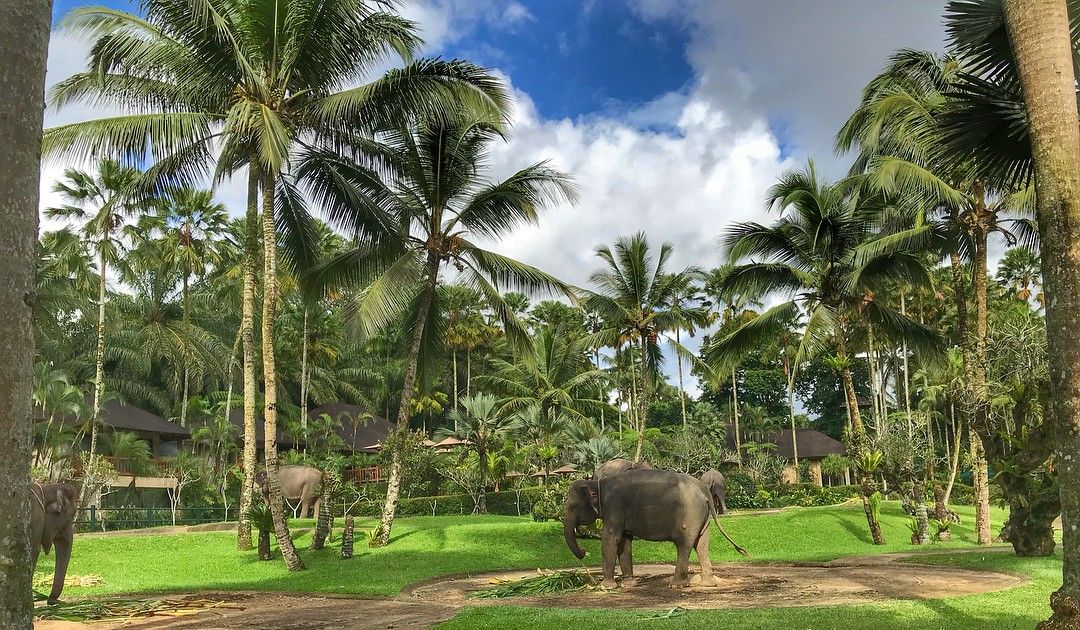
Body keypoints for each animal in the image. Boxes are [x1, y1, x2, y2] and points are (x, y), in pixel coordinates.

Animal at [563, 468, 718, 589]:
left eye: (572, 506)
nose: (584, 552)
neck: (597, 484)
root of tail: (704, 488)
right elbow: (624, 543)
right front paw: (628, 584)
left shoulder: (614, 507)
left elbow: (610, 538)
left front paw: (606, 587)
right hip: (703, 517)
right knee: (702, 544)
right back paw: (708, 583)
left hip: (690, 514)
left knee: (684, 545)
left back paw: (677, 585)